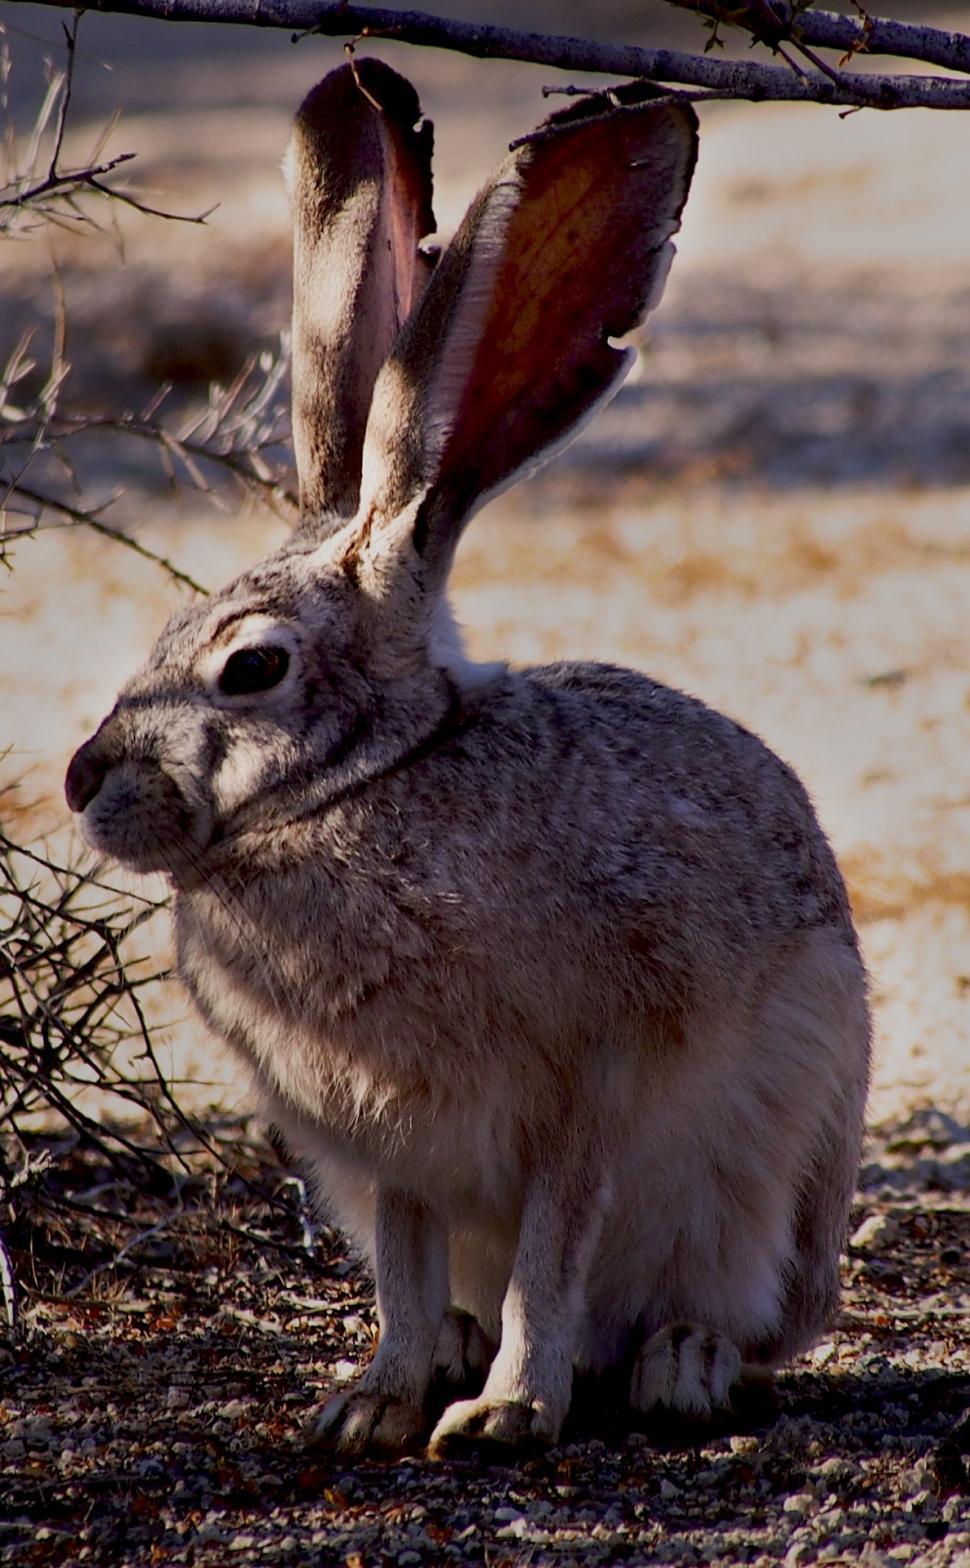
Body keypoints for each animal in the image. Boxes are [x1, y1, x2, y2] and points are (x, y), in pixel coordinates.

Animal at [65, 59, 870, 1461]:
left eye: (250, 667)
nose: (82, 781)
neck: (365, 788)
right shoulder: (380, 1148)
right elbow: (399, 1258)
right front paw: (375, 1399)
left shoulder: (582, 1093)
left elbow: (552, 1254)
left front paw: (504, 1416)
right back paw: (449, 1348)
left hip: (786, 1151)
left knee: (745, 1313)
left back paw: (682, 1362)